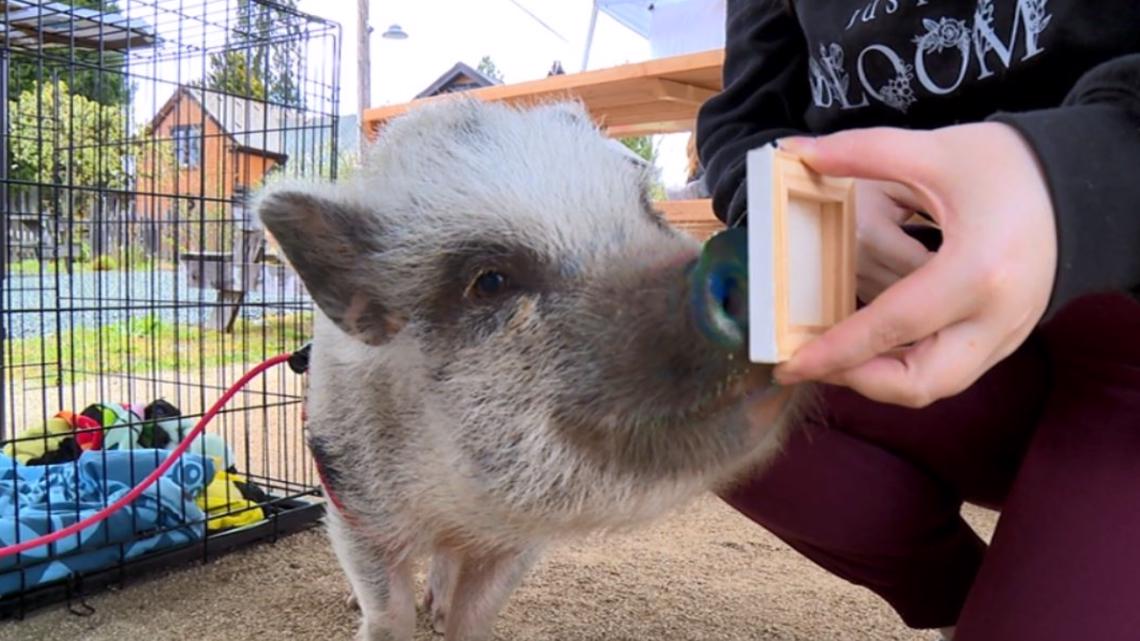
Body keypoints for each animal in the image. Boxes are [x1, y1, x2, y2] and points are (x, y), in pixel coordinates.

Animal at [255, 97, 806, 641]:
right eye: (490, 281)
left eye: (648, 214)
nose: (747, 275)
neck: (451, 497)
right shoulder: (353, 500)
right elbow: (387, 613)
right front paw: (380, 615)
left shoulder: (519, 541)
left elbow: (475, 616)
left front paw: (447, 619)